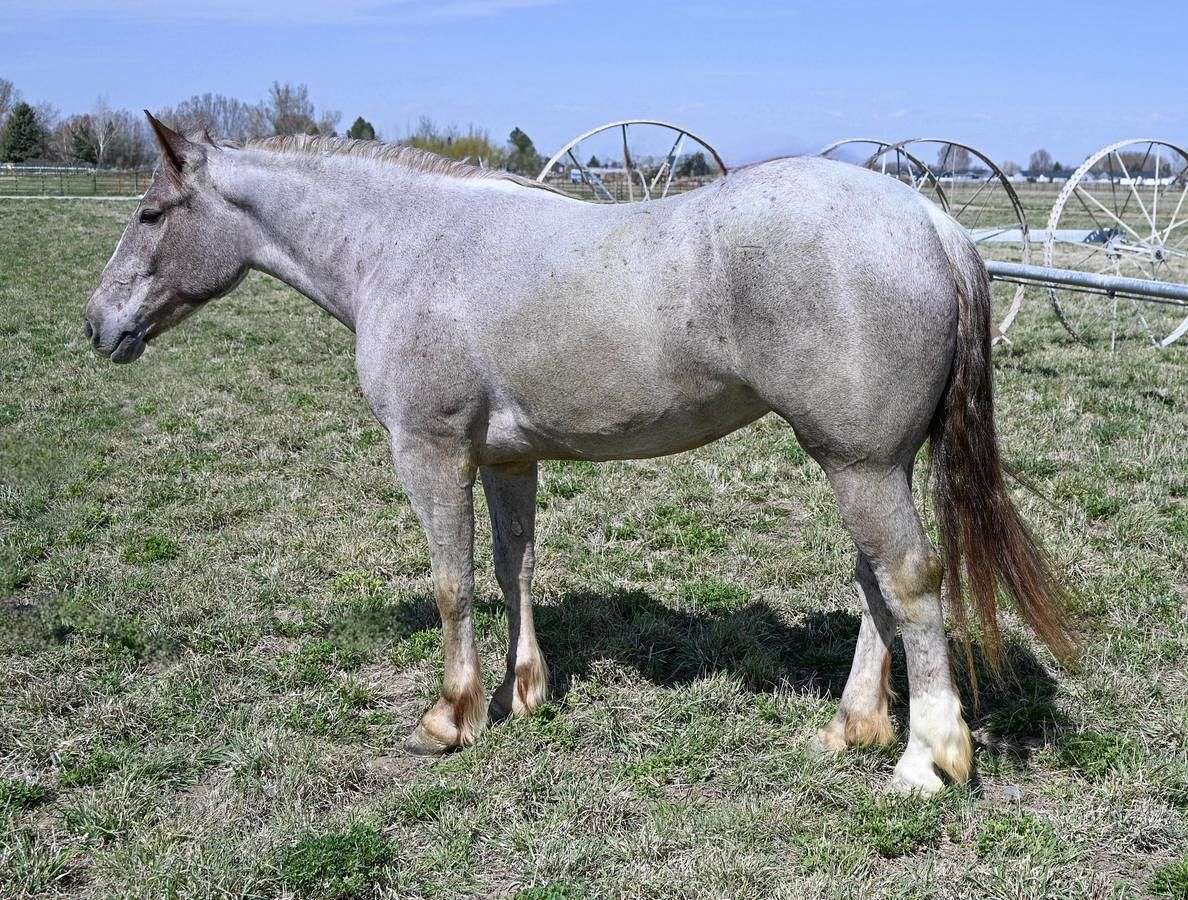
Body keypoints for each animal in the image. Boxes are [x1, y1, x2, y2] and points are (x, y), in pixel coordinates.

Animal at [83, 113, 1074, 795]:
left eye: (152, 212)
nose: (98, 325)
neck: (406, 246)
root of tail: (936, 228)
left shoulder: (429, 451)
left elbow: (453, 584)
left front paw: (449, 718)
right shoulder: (505, 459)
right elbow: (513, 568)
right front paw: (521, 693)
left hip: (859, 463)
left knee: (908, 580)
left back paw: (924, 762)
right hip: (864, 461)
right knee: (877, 581)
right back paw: (854, 726)